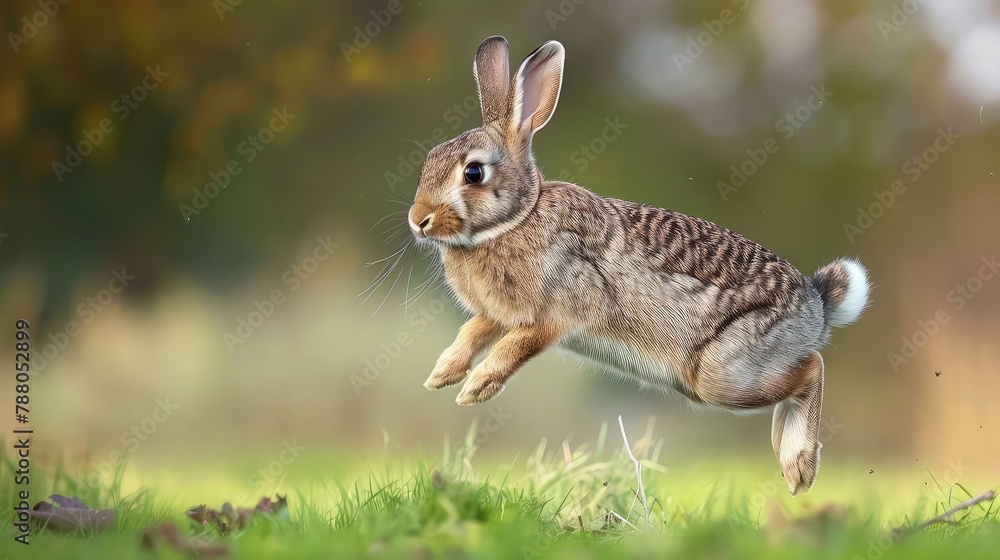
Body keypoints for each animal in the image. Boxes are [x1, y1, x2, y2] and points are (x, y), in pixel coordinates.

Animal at [407, 36, 870, 495]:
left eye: (473, 173)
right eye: (428, 160)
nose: (418, 220)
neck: (516, 218)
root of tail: (817, 305)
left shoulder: (559, 312)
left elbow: (514, 347)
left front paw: (476, 388)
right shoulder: (498, 314)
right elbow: (472, 332)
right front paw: (441, 376)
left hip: (724, 373)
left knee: (813, 367)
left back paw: (798, 466)